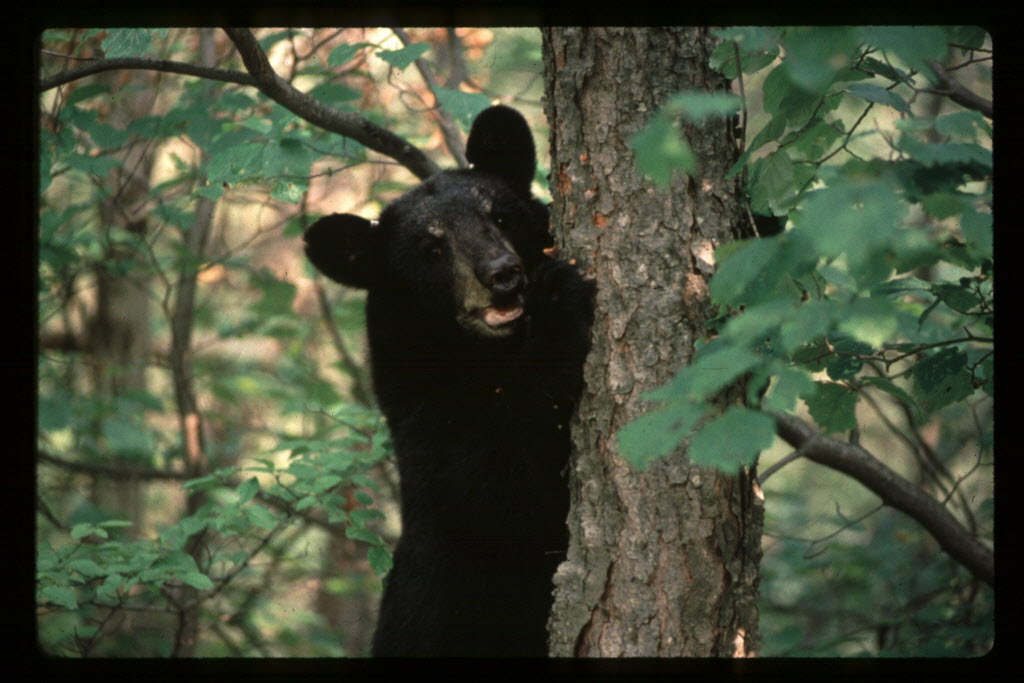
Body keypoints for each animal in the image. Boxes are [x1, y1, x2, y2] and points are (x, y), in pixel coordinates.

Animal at [303, 105, 594, 657]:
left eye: (499, 216)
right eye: (431, 249)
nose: (502, 273)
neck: (485, 357)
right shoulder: (424, 418)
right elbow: (496, 494)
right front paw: (558, 302)